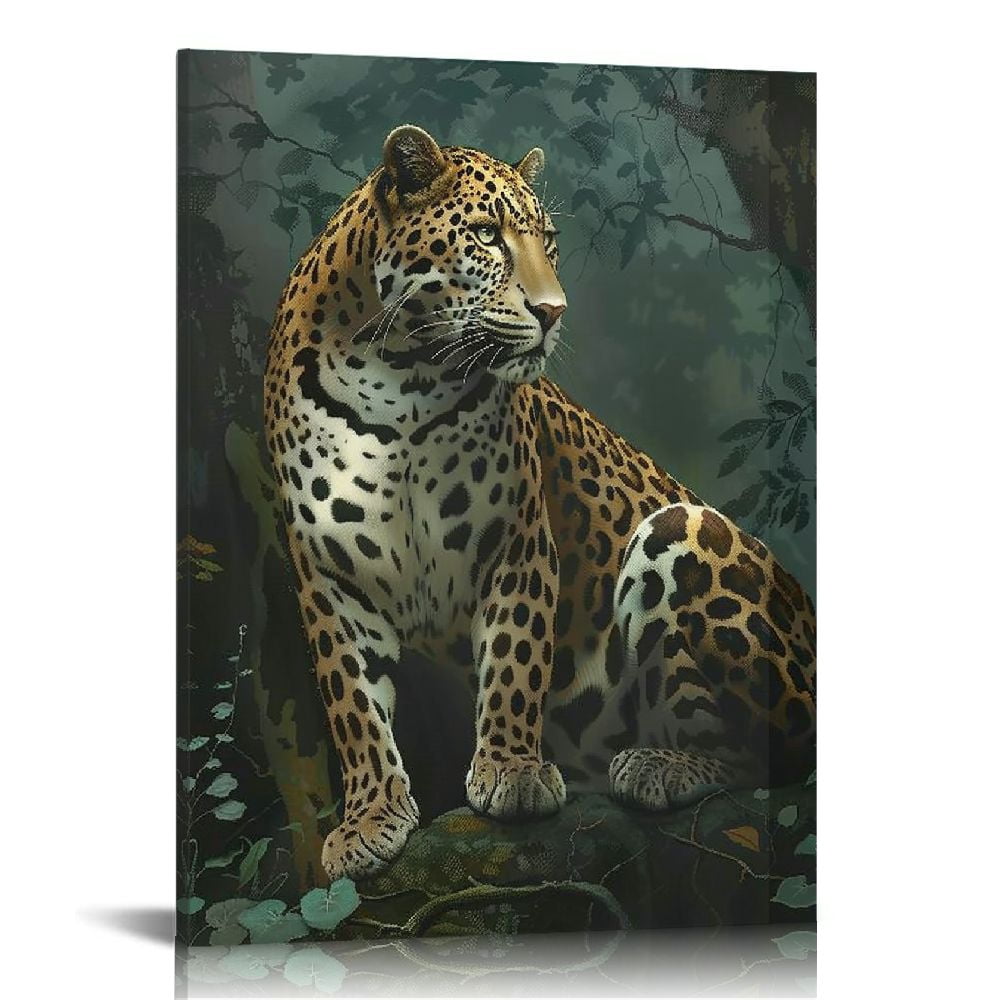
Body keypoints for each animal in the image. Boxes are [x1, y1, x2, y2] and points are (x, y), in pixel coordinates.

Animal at [264, 124, 816, 882]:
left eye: (546, 241)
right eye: (486, 235)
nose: (553, 312)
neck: (399, 376)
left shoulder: (519, 539)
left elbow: (514, 659)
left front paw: (512, 773)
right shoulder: (326, 572)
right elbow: (352, 703)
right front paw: (370, 820)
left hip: (687, 531)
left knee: (774, 751)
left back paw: (657, 766)